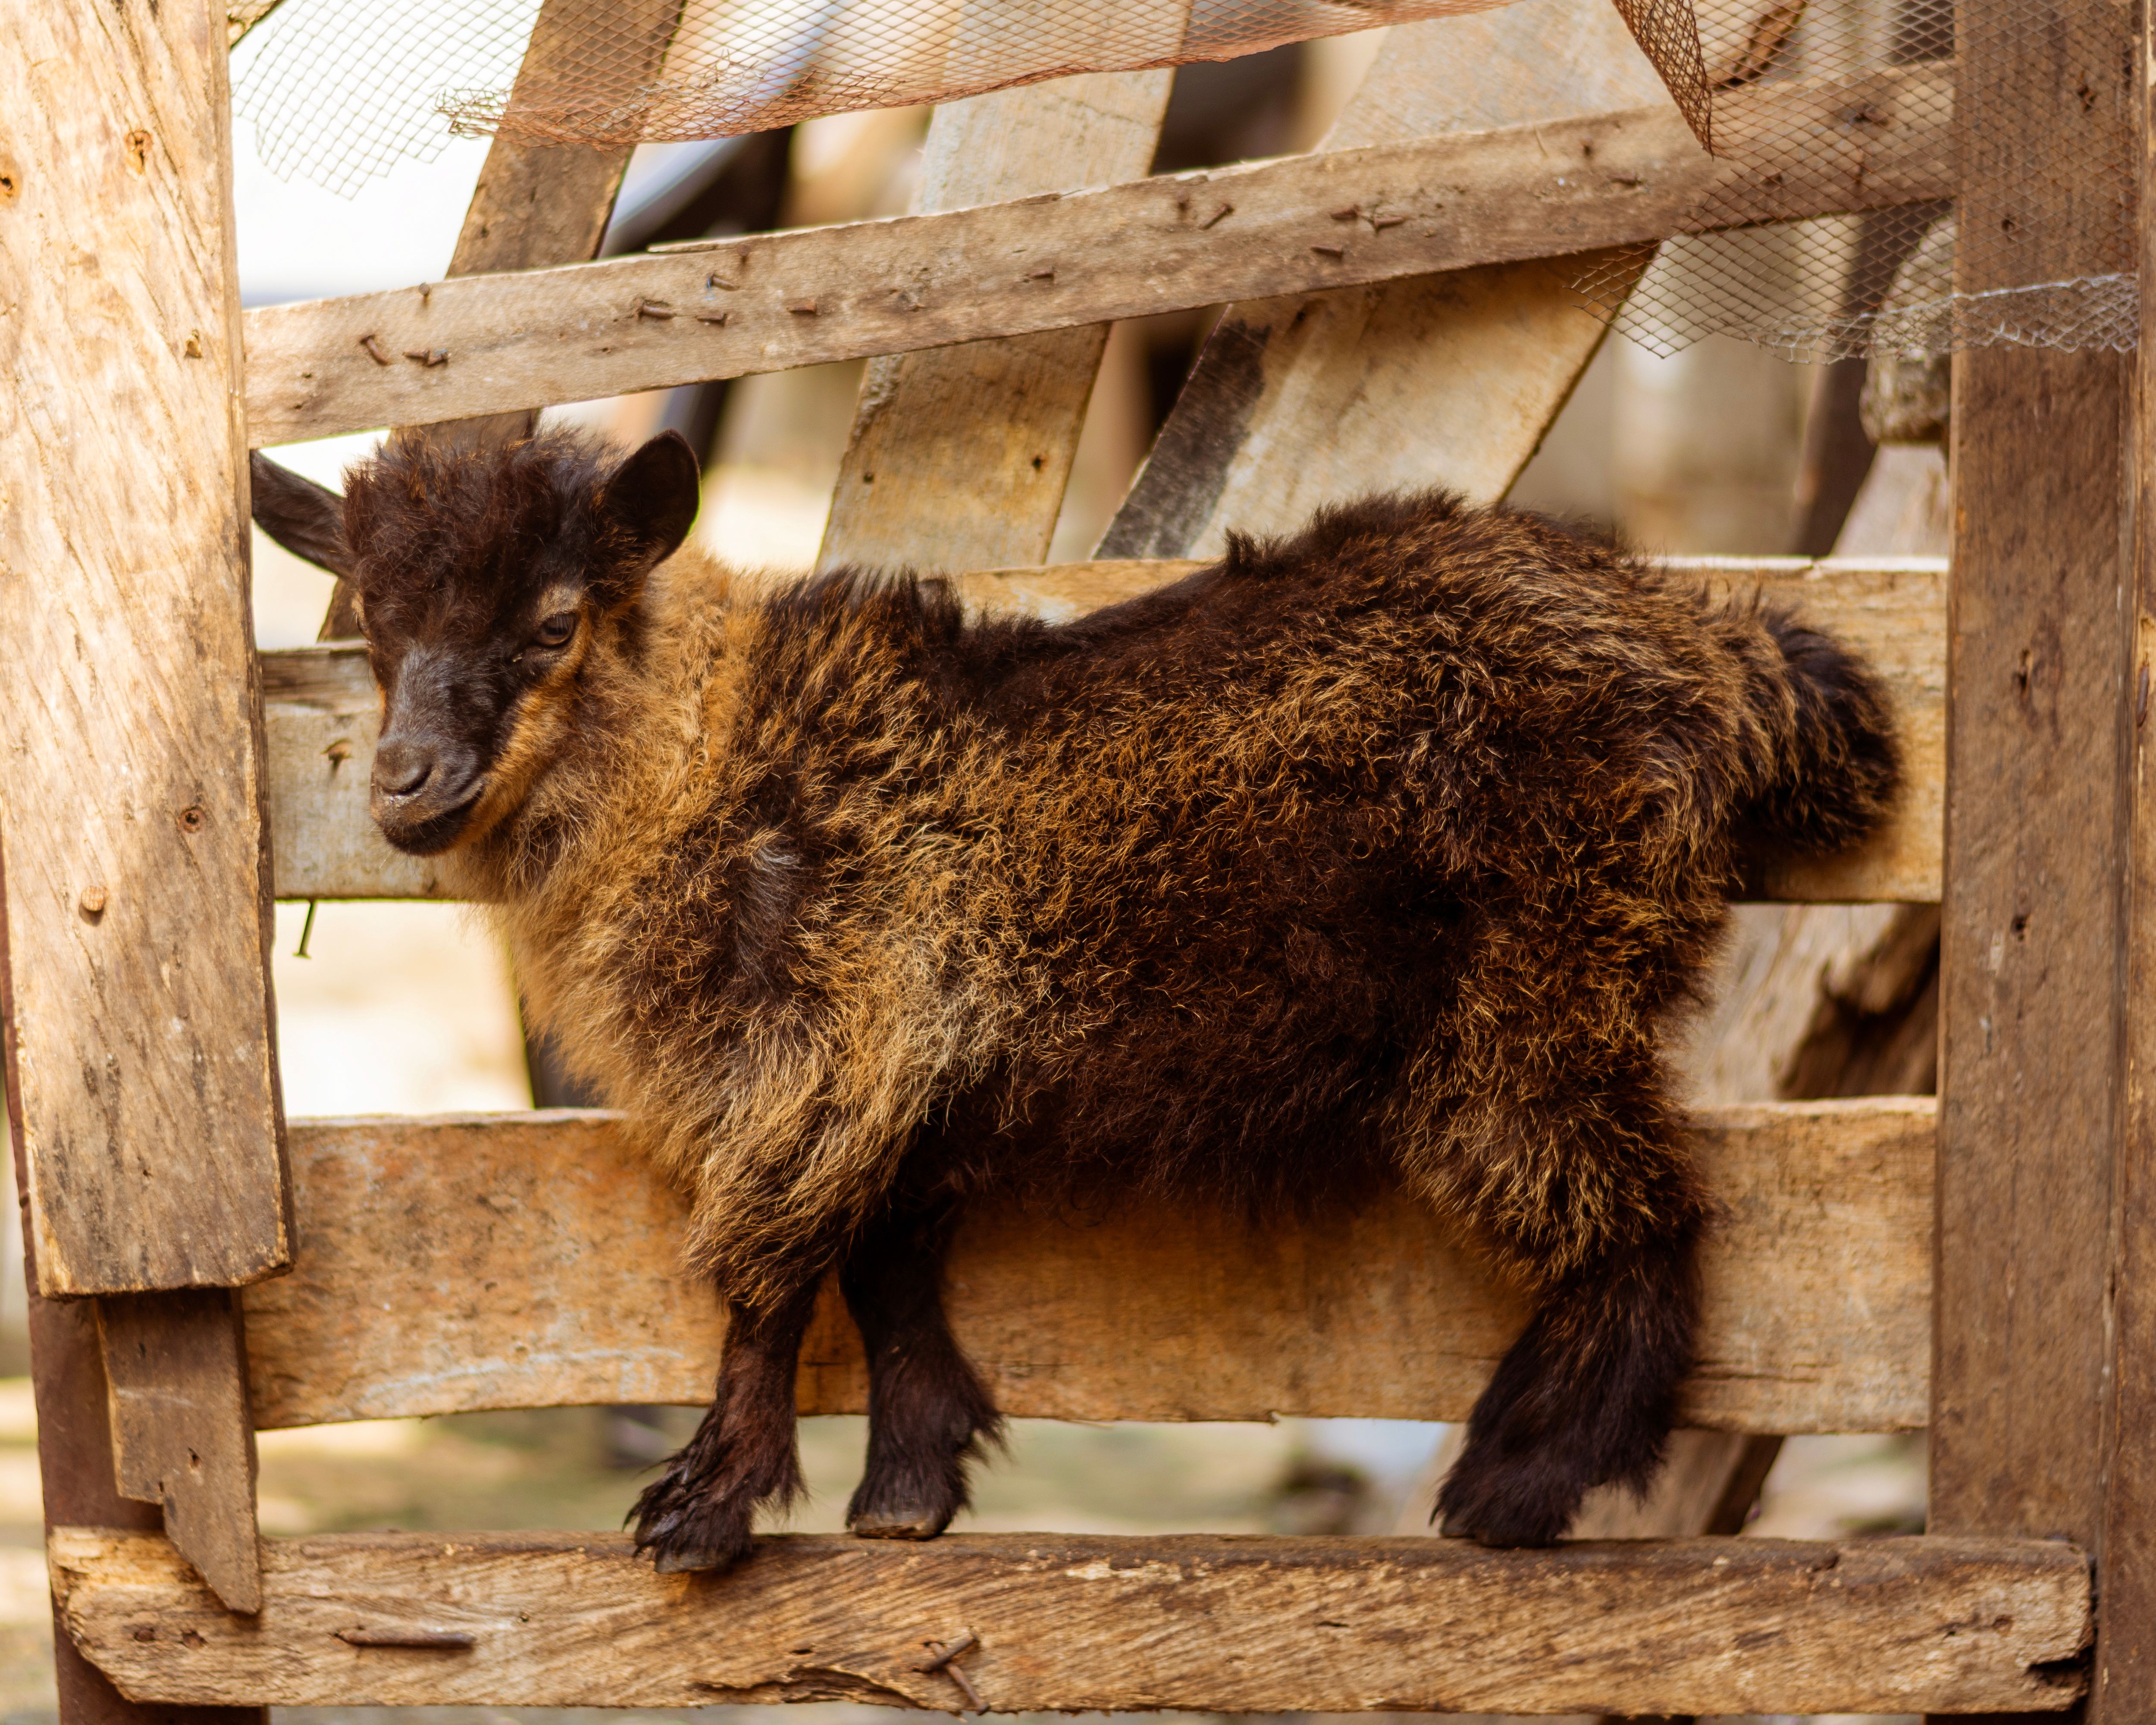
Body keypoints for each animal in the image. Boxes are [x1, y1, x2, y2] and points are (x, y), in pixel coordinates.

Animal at [252, 429, 1898, 1571]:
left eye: (550, 625)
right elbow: (888, 1267)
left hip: (1535, 996)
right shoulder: (897, 1074)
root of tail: (1720, 651)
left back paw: (1513, 1485)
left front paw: (704, 1513)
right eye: (374, 636)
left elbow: (765, 1282)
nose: (403, 785)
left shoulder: (815, 1052)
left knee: (1644, 1222)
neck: (714, 763)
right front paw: (906, 1494)